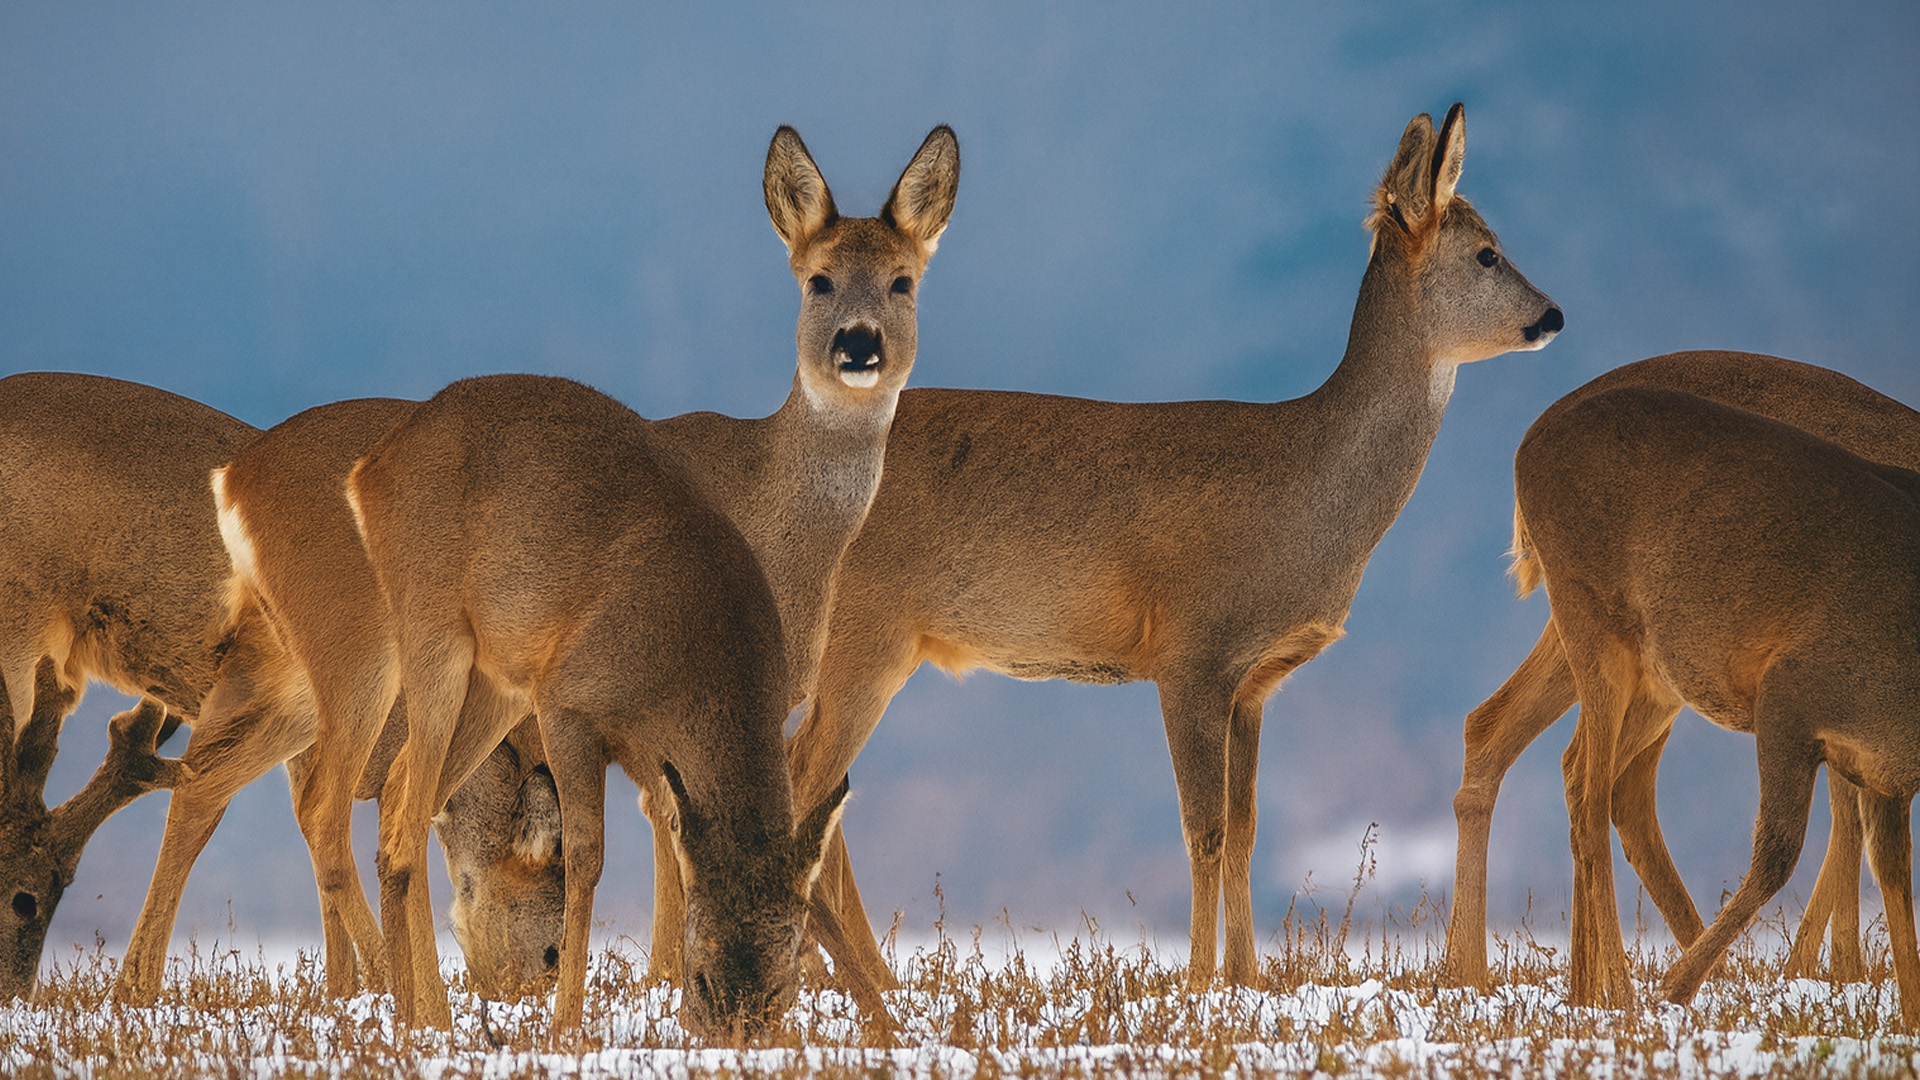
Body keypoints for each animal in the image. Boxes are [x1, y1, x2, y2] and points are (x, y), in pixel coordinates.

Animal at [346, 124, 958, 1039]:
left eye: (903, 279)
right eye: (817, 277)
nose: (859, 344)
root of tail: (369, 468)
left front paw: (881, 1020)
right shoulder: (596, 713)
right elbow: (625, 855)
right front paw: (599, 1014)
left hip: (494, 681)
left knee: (399, 805)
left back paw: (429, 1015)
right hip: (431, 641)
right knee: (390, 812)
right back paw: (430, 1020)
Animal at [764, 102, 1562, 993]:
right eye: (1487, 252)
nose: (1553, 315)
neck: (1305, 486)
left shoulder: (1255, 680)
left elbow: (1246, 830)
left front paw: (1248, 977)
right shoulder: (1192, 649)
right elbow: (1202, 829)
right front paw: (1201, 980)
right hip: (865, 635)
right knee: (803, 780)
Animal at [1442, 352, 1920, 998]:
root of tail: (1528, 445)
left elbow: (1877, 853)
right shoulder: (1797, 699)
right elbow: (1803, 843)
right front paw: (1824, 970)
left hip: (1642, 662)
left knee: (1515, 739)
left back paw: (1542, 979)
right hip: (1602, 629)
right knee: (1590, 787)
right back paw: (1624, 988)